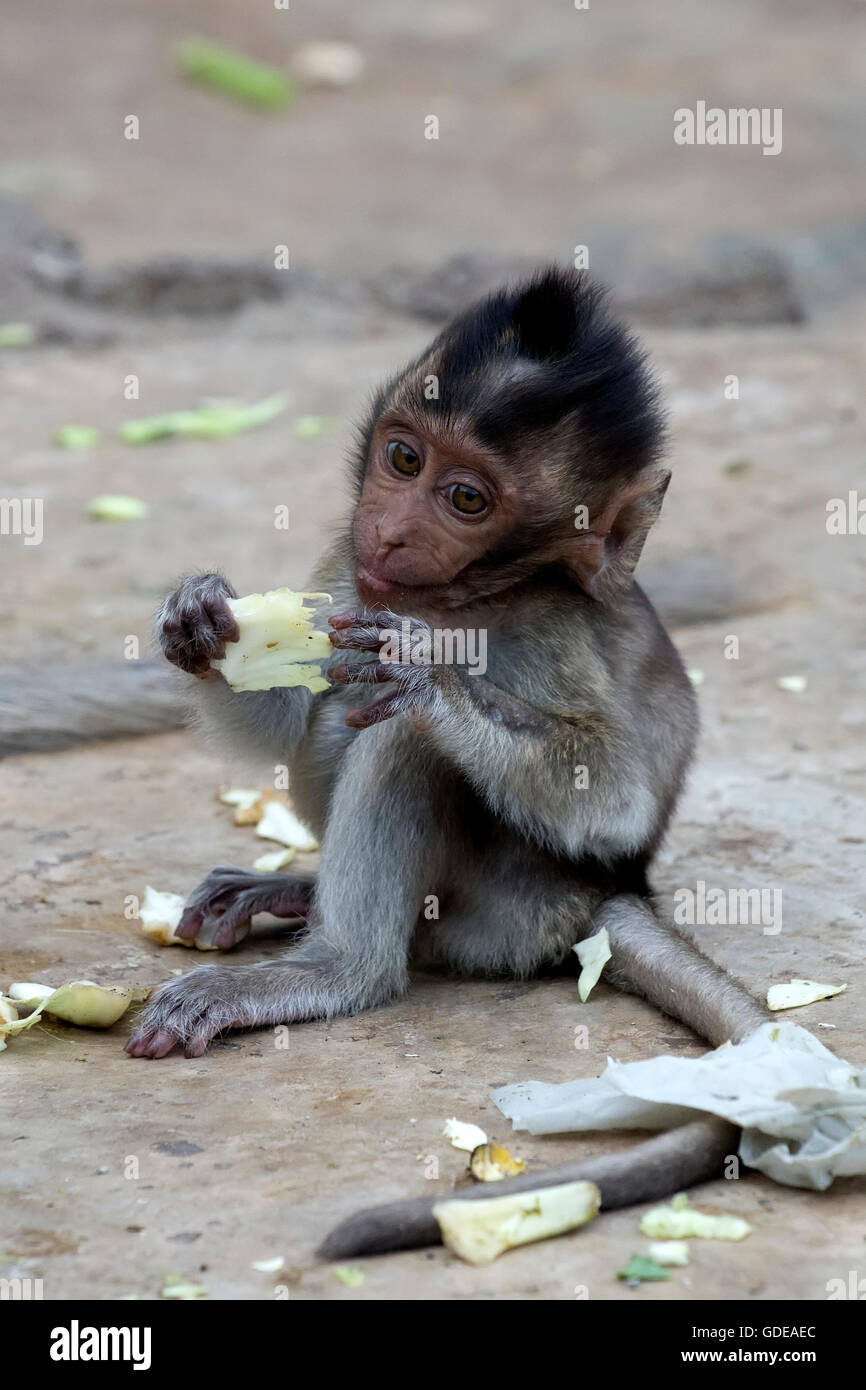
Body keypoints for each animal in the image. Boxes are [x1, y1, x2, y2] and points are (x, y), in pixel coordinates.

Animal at [126, 269, 772, 1247]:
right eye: (403, 459)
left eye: (466, 499)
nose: (390, 533)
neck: (469, 600)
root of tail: (601, 896)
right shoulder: (349, 572)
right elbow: (289, 706)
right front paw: (200, 618)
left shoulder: (553, 628)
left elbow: (612, 793)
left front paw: (425, 677)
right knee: (339, 719)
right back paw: (296, 893)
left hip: (511, 905)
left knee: (399, 744)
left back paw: (335, 968)